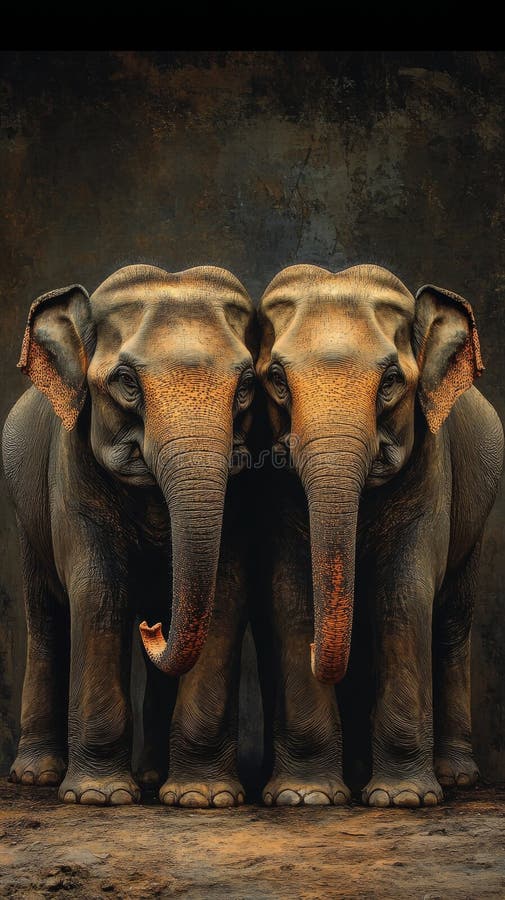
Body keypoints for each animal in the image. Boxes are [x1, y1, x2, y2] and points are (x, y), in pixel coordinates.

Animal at [3, 263, 256, 806]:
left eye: (247, 386)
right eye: (125, 382)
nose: (152, 630)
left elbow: (226, 590)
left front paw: (202, 798)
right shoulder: (71, 467)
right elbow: (99, 591)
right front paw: (100, 797)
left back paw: (153, 780)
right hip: (25, 513)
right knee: (46, 614)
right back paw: (37, 777)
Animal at [256, 263, 503, 808]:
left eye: (391, 380)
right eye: (277, 379)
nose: (316, 650)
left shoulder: (431, 466)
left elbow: (403, 594)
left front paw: (403, 800)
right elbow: (288, 591)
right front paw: (306, 798)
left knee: (451, 619)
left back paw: (455, 779)